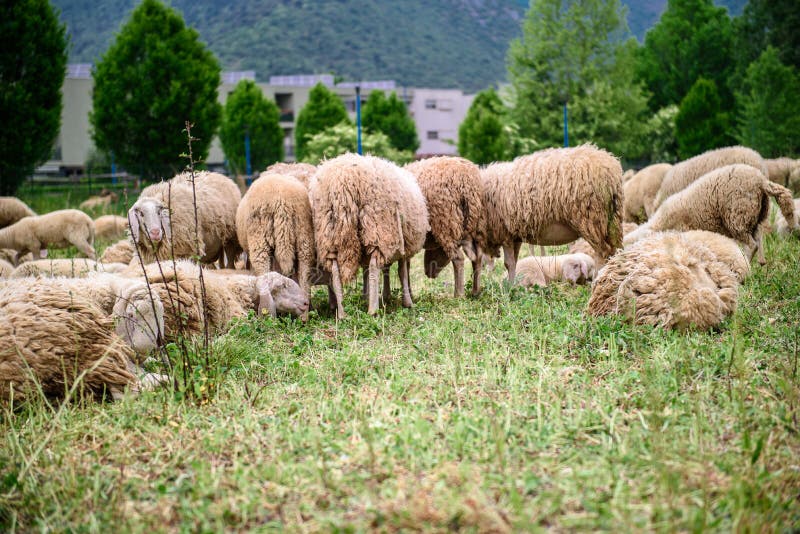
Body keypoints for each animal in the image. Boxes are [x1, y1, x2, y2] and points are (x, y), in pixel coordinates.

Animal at [311, 153, 429, 317]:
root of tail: (344, 182)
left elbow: (370, 271)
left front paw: (367, 296)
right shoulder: (404, 245)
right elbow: (402, 272)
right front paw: (407, 302)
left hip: (328, 231)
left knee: (335, 271)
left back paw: (342, 313)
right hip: (377, 224)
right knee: (374, 266)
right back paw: (373, 310)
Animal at [405, 156, 486, 297]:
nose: (428, 273)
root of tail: (466, 181)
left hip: (446, 223)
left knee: (458, 258)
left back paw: (459, 295)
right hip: (475, 226)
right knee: (478, 256)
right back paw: (476, 292)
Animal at [481, 144, 623, 283]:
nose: (487, 270)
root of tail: (611, 168)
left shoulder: (505, 233)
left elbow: (508, 263)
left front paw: (510, 287)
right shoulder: (515, 235)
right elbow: (514, 263)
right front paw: (513, 285)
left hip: (591, 219)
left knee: (603, 252)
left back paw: (597, 281)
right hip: (611, 222)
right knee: (614, 251)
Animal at [624, 164, 796, 265]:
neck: (661, 224)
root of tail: (761, 180)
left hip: (738, 216)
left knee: (751, 245)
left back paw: (746, 266)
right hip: (754, 216)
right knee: (759, 239)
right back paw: (761, 263)